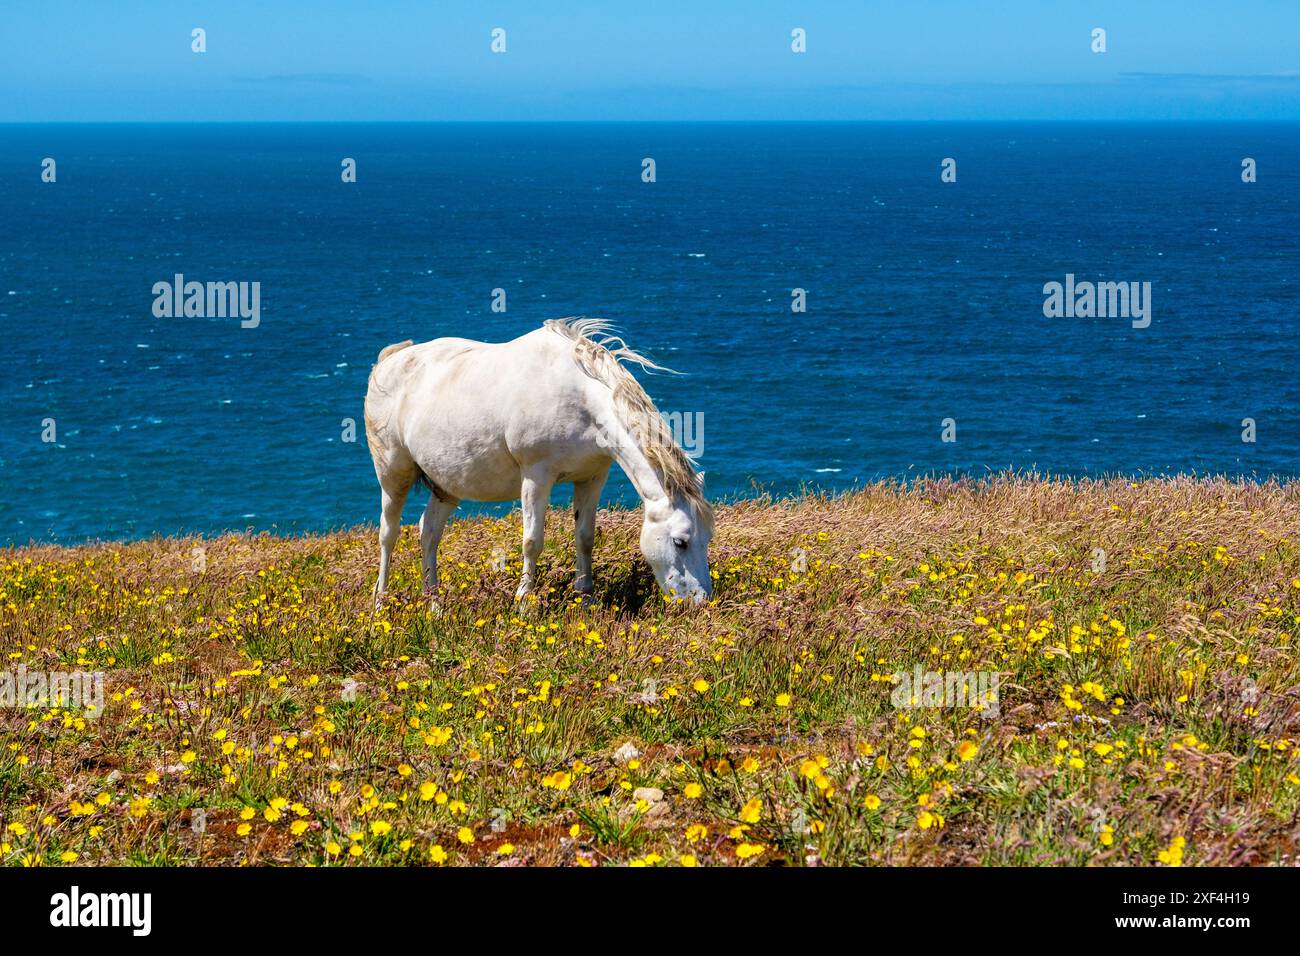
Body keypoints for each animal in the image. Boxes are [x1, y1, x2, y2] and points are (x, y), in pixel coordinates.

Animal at [363, 318, 713, 609]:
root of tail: (389, 361)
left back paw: (435, 605)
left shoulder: (593, 476)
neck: (578, 397)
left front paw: (586, 599)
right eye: (680, 542)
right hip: (392, 473)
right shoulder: (536, 476)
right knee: (388, 533)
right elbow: (532, 542)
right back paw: (380, 602)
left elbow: (585, 537)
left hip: (446, 485)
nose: (700, 603)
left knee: (429, 533)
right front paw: (524, 604)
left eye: (707, 539)